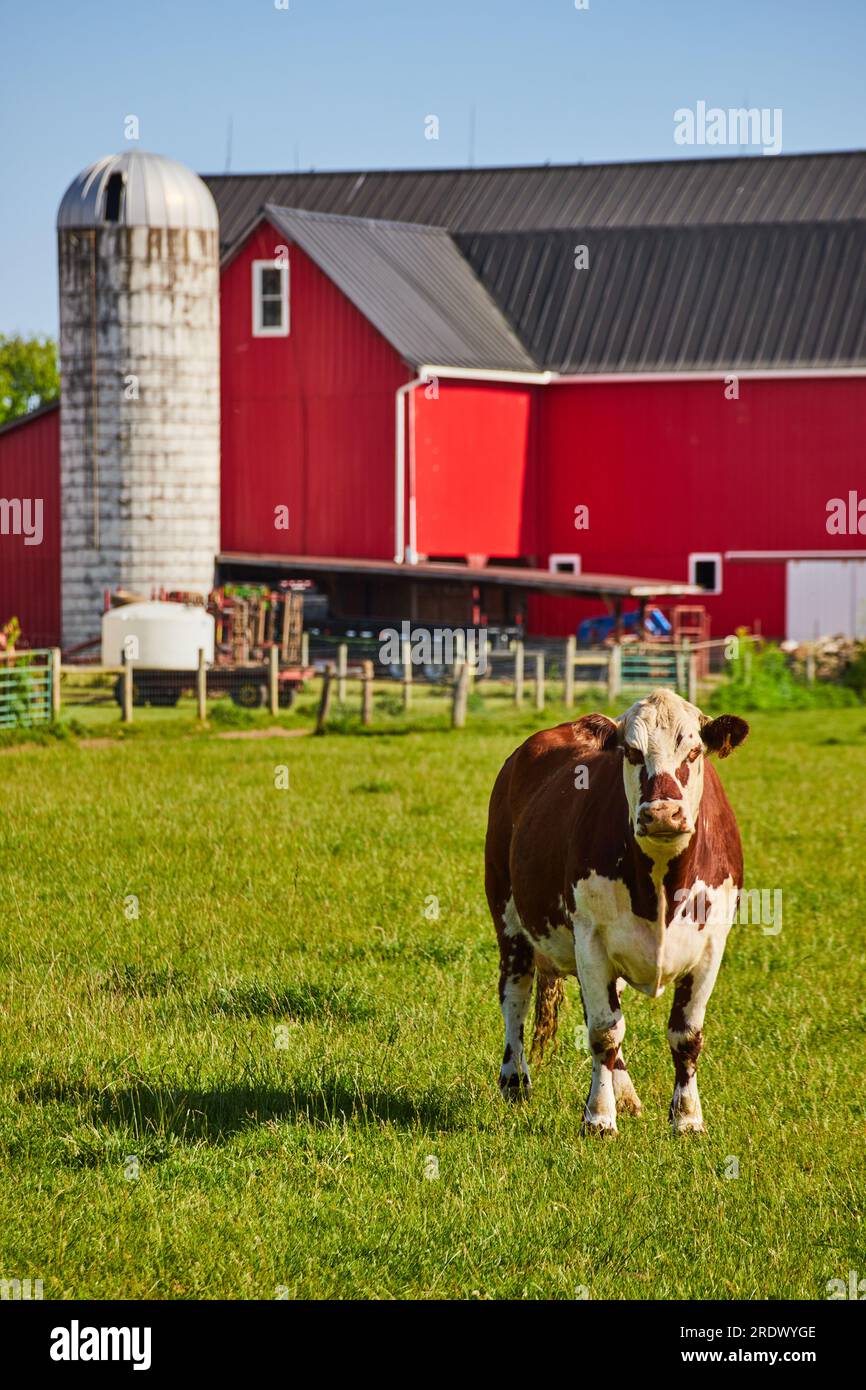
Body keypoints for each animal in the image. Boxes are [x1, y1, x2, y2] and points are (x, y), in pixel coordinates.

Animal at [484, 688, 749, 1136]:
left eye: (694, 751)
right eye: (632, 751)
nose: (662, 813)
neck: (662, 884)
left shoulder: (711, 945)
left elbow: (685, 1035)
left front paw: (687, 1118)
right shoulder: (590, 938)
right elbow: (604, 1032)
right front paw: (598, 1117)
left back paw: (626, 1094)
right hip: (509, 916)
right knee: (515, 996)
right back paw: (515, 1080)